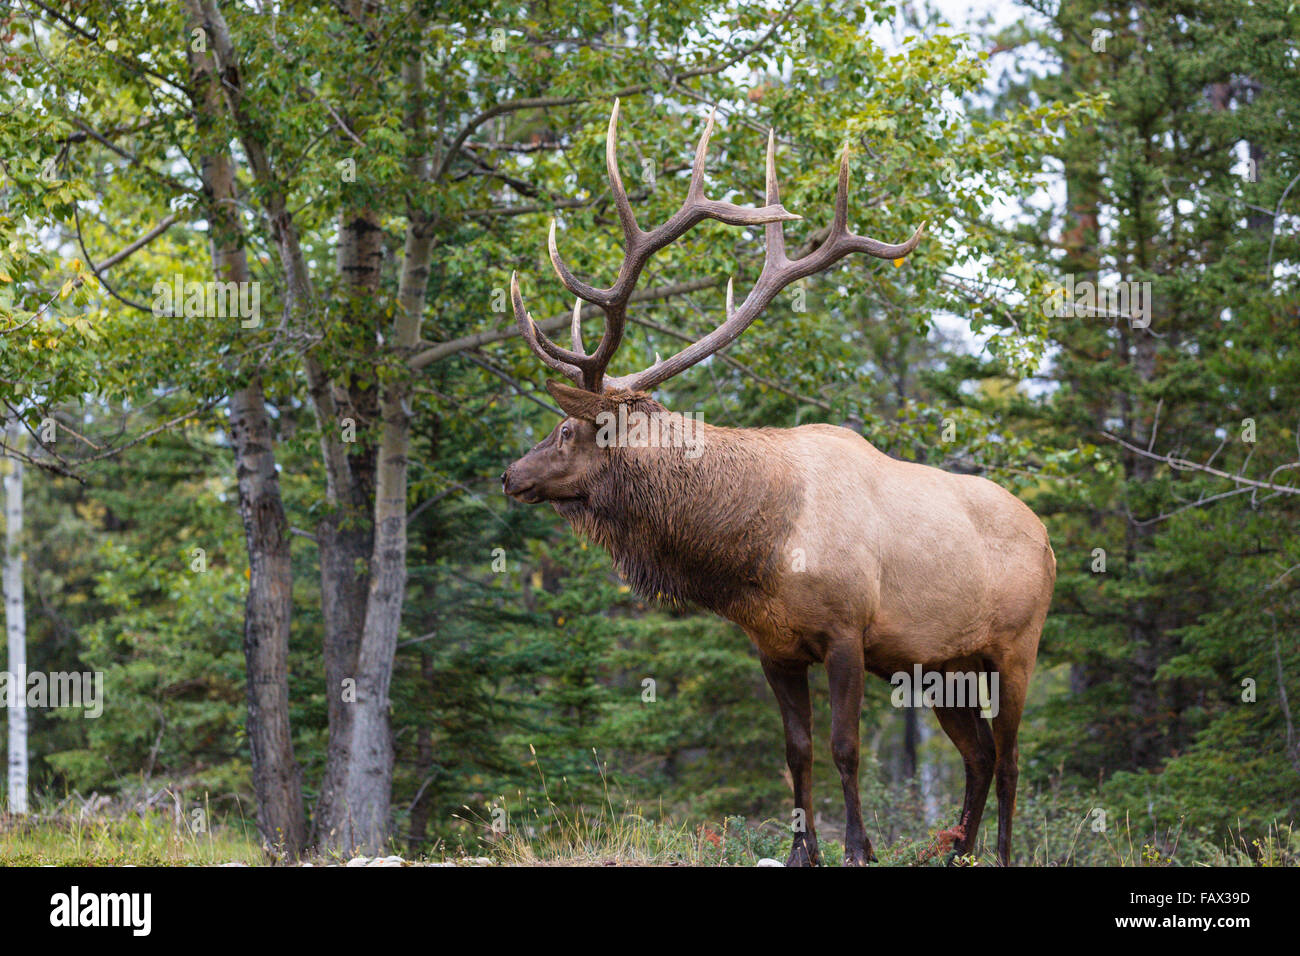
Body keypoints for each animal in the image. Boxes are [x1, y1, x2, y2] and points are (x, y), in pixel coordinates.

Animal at [501, 101, 1056, 866]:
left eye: (562, 431)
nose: (510, 475)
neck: (758, 550)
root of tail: (1049, 538)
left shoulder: (850, 632)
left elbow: (845, 747)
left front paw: (858, 849)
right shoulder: (773, 647)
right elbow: (796, 752)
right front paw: (802, 850)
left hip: (1017, 646)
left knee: (1009, 758)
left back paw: (997, 852)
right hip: (943, 664)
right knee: (976, 754)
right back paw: (957, 852)